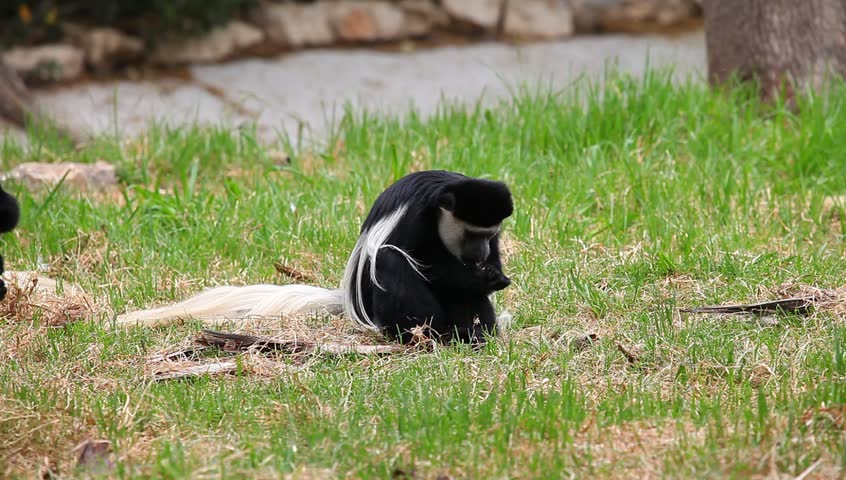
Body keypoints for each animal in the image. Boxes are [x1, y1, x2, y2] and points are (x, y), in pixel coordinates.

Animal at [117, 170, 514, 345]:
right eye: (471, 234)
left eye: (488, 235)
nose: (479, 253)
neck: (438, 212)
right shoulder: (416, 218)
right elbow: (425, 262)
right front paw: (482, 277)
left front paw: (490, 275)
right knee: (389, 260)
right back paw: (422, 333)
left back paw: (471, 334)